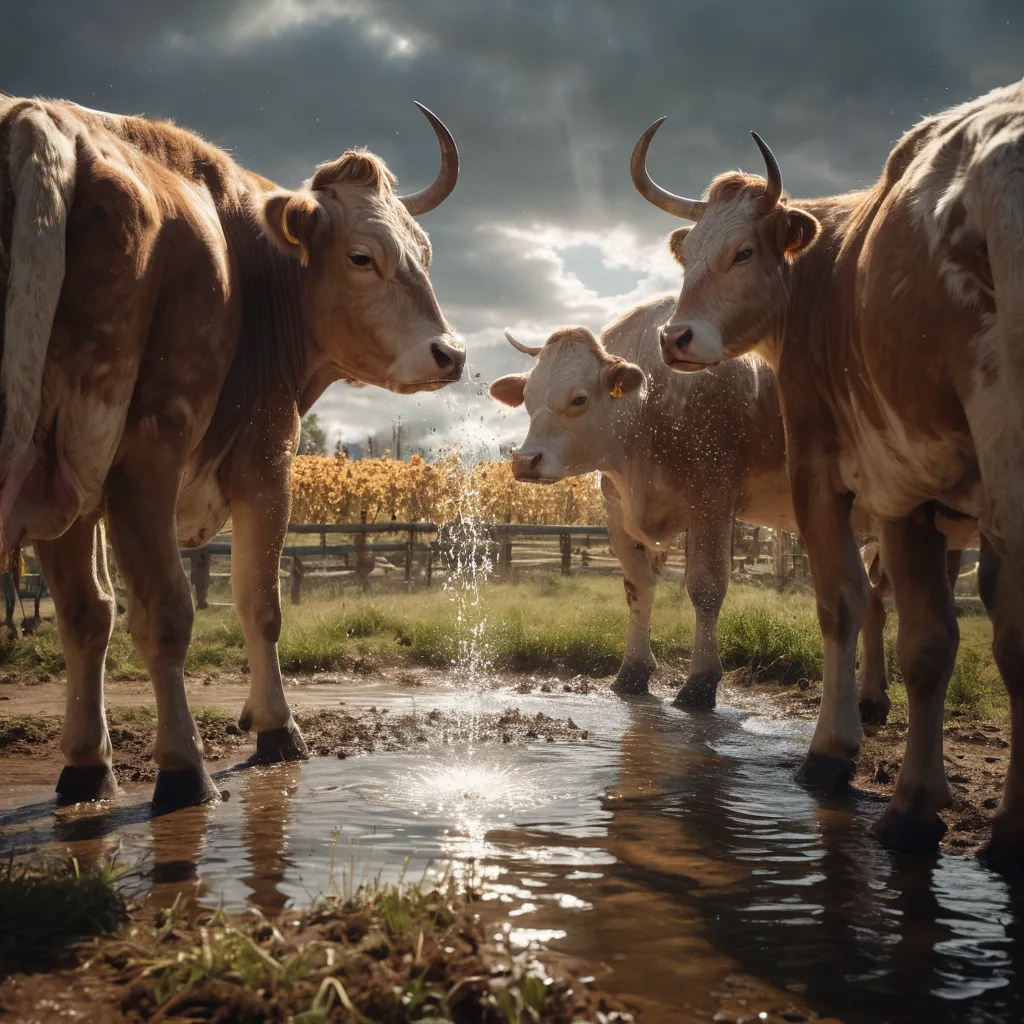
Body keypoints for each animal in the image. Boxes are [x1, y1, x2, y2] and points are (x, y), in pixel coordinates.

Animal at [0, 95, 464, 810]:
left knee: (94, 613)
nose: (451, 353)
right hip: (140, 454)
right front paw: (274, 729)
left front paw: (87, 764)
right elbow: (256, 604)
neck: (252, 271)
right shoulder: (262, 465)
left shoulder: (72, 486)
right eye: (362, 257)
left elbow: (87, 616)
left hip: (60, 461)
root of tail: (38, 120)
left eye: (424, 252)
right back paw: (185, 768)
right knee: (166, 613)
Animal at [488, 297, 956, 714]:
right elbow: (638, 586)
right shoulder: (618, 514)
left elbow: (706, 587)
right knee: (876, 602)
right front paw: (633, 672)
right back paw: (871, 697)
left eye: (579, 398)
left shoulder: (712, 498)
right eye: (527, 398)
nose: (525, 460)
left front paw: (700, 684)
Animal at [629, 79, 1022, 866]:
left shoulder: (826, 469)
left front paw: (834, 754)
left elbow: (844, 604)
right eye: (690, 259)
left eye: (743, 252)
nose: (675, 338)